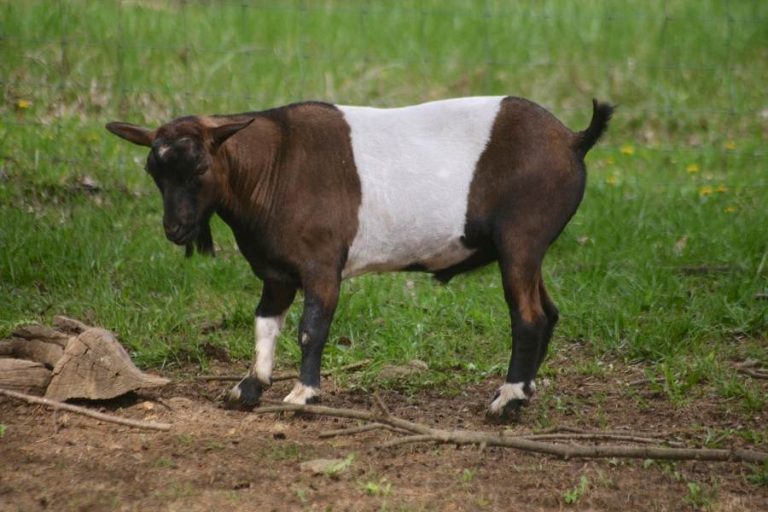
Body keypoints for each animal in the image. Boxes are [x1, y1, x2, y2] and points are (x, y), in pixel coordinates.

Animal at [106, 96, 613, 420]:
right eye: (154, 170)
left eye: (200, 167)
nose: (175, 229)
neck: (274, 164)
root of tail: (572, 139)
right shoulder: (276, 273)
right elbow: (265, 323)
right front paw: (249, 387)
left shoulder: (321, 265)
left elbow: (312, 328)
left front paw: (303, 395)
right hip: (529, 249)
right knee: (548, 312)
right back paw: (523, 392)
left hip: (521, 238)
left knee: (528, 316)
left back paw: (506, 402)